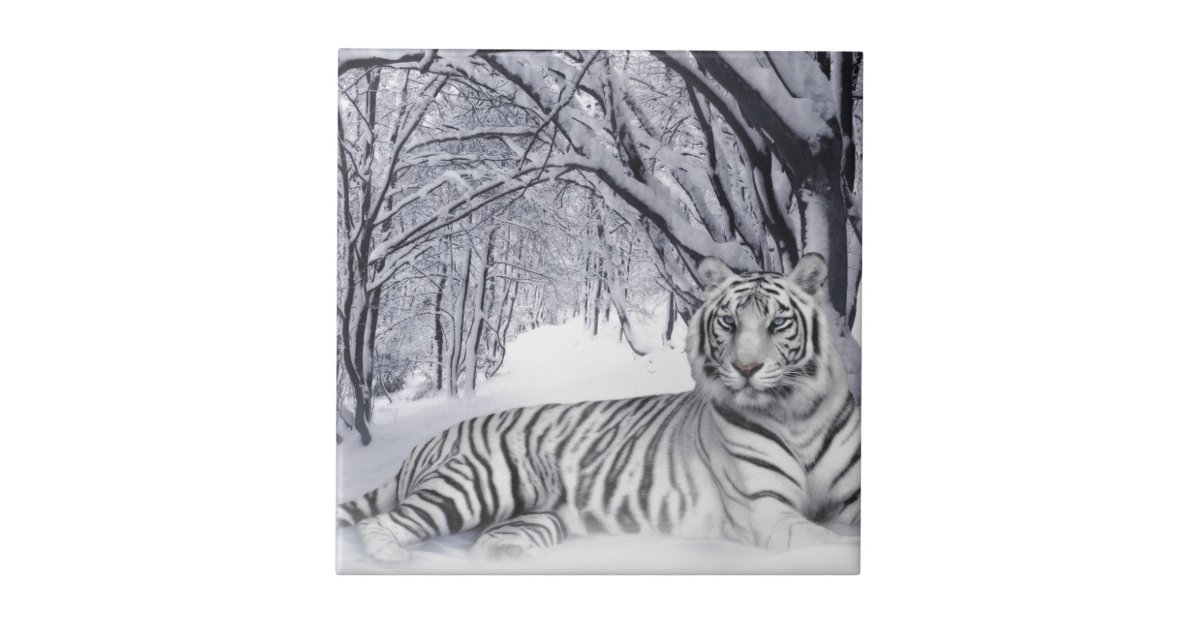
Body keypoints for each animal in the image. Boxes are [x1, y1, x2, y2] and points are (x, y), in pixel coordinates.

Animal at [337, 253, 860, 563]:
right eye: (729, 322)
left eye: (778, 324)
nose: (746, 368)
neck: (796, 414)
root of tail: (426, 443)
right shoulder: (768, 511)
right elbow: (833, 544)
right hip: (475, 485)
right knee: (378, 522)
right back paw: (392, 559)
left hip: (534, 519)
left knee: (487, 545)